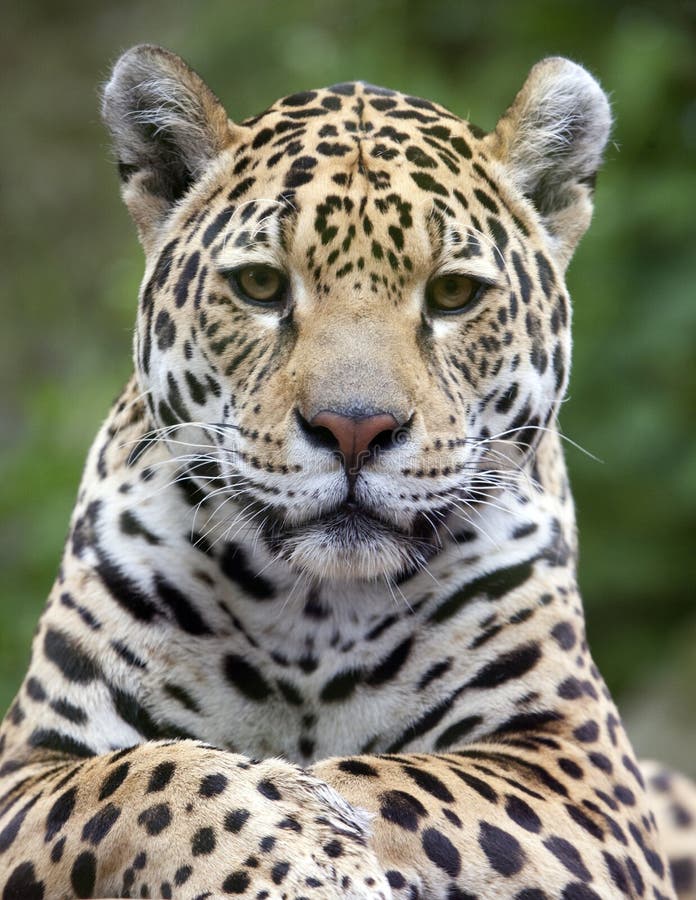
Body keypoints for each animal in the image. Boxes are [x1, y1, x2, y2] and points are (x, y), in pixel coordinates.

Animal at [1, 43, 695, 900]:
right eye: (260, 285)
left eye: (453, 293)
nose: (355, 428)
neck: (313, 617)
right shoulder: (29, 766)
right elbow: (148, 777)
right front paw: (299, 848)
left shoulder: (582, 774)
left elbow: (403, 778)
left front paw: (317, 833)